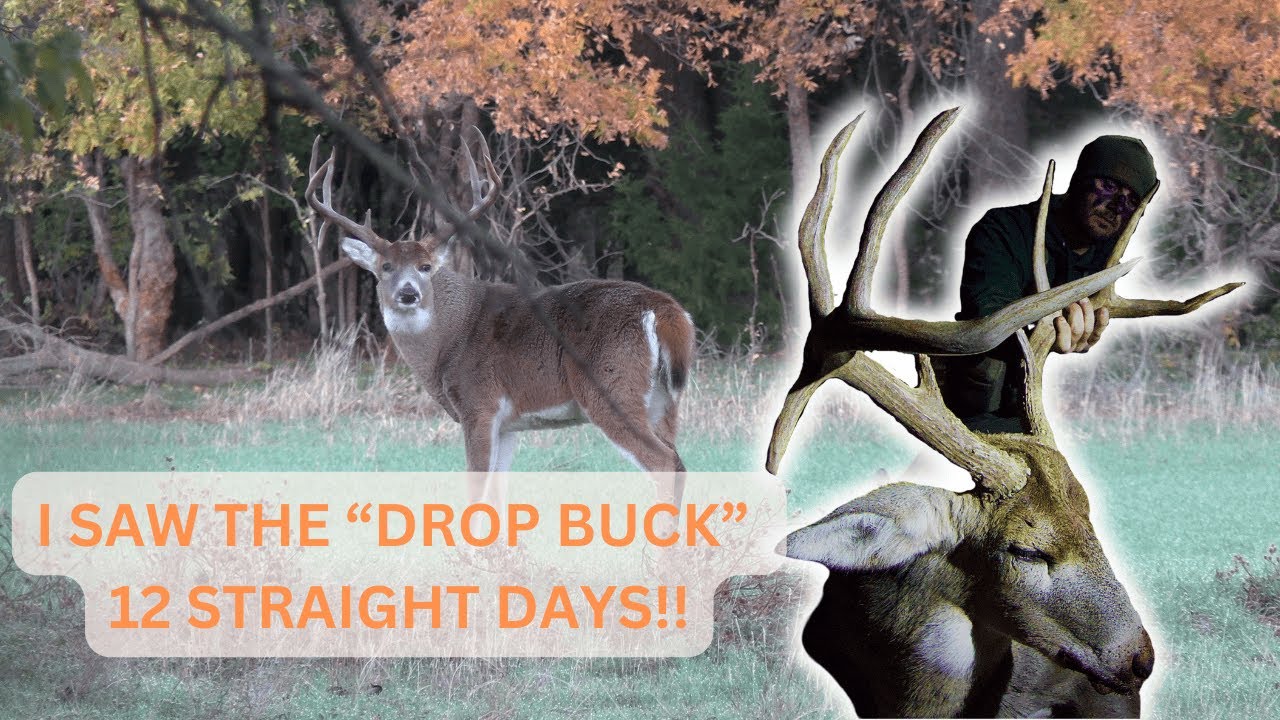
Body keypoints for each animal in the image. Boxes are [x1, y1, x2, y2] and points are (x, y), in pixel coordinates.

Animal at [306, 132, 694, 499]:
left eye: (425, 266)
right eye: (385, 267)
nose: (408, 293)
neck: (449, 340)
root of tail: (663, 309)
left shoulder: (479, 404)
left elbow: (476, 489)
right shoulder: (509, 425)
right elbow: (498, 491)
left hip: (611, 388)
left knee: (662, 462)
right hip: (664, 401)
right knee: (678, 462)